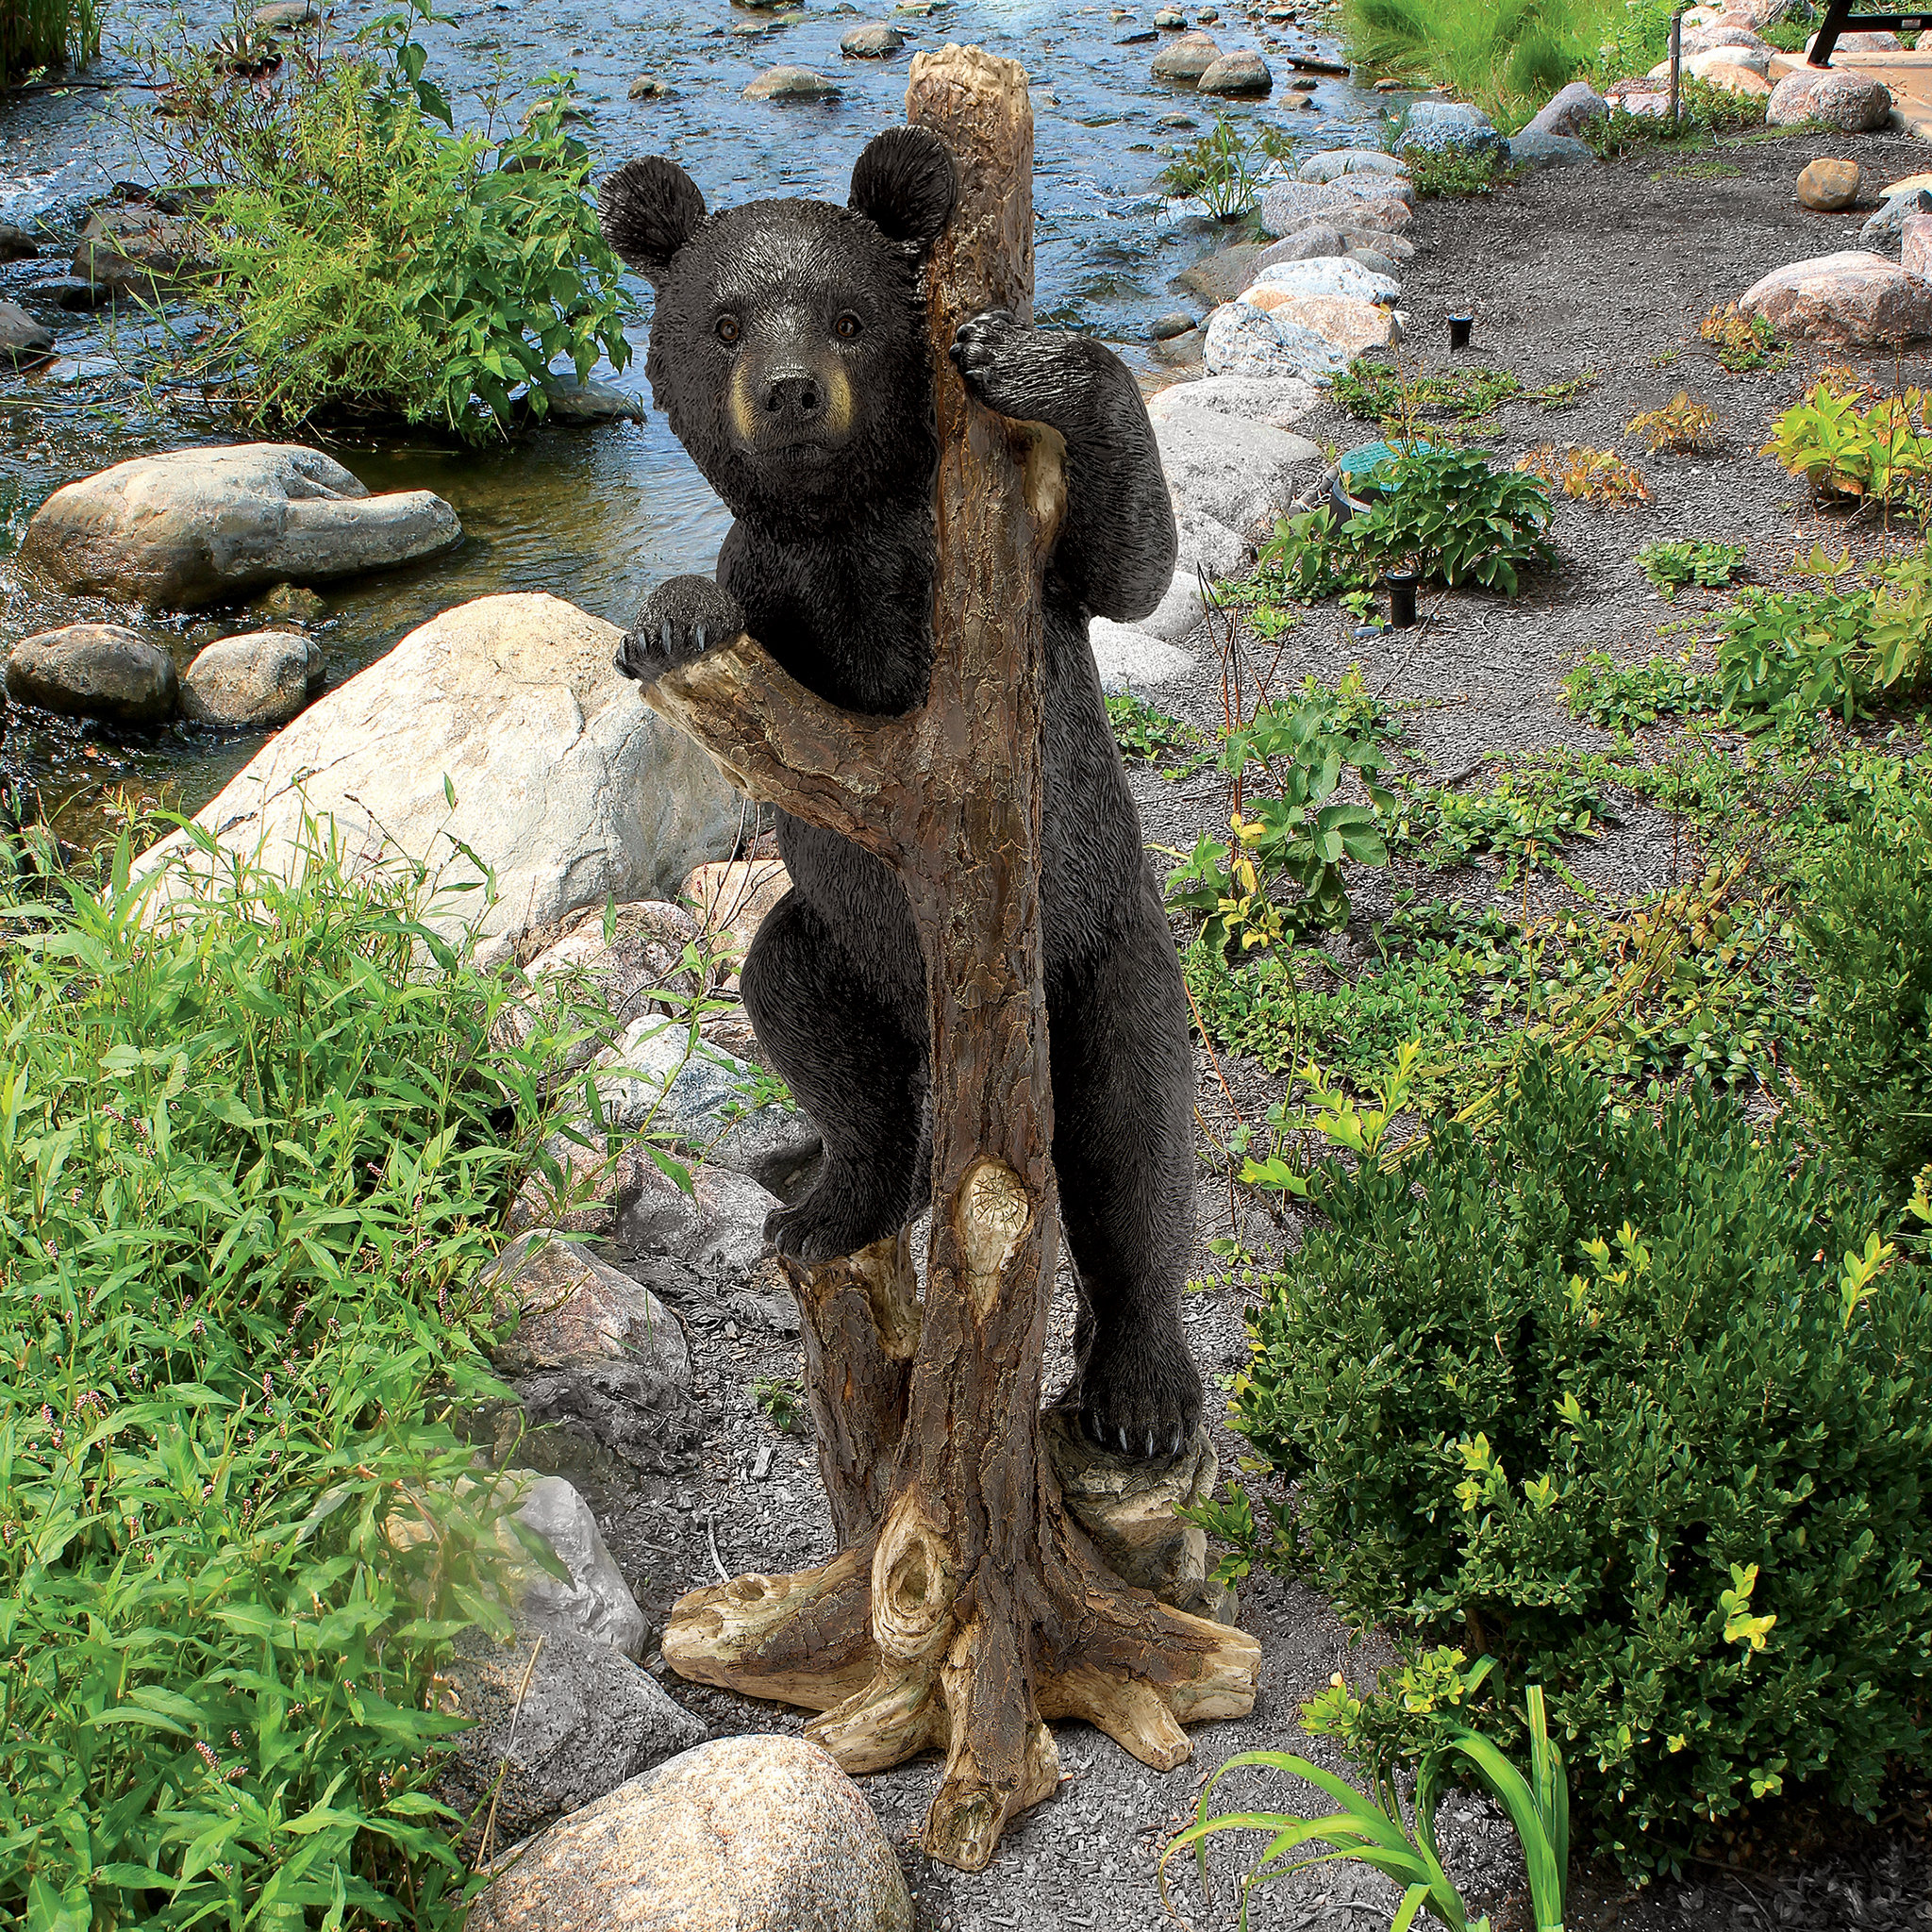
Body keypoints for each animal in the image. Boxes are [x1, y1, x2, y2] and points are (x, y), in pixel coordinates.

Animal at [597, 126, 1200, 1458]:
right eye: (723, 321)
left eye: (846, 315)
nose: (788, 390)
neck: (849, 525)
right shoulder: (789, 586)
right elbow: (739, 663)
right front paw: (667, 614)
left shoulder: (1010, 562)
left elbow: (1128, 562)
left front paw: (1029, 357)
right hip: (849, 943)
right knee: (807, 1019)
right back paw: (825, 1198)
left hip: (1098, 949)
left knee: (1132, 1140)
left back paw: (1139, 1391)